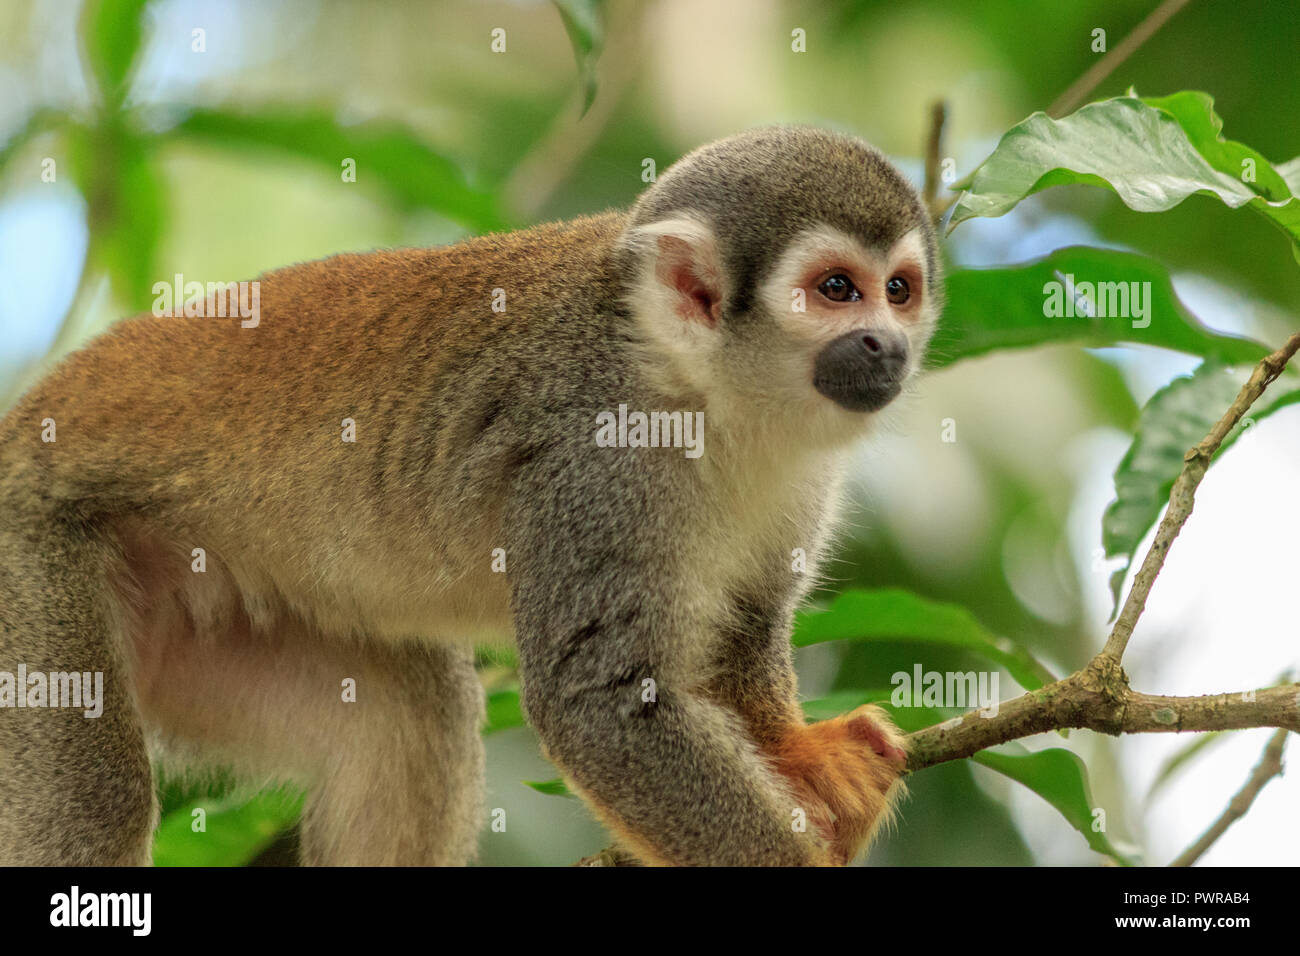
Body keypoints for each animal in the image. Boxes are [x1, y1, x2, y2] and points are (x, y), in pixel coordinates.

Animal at [0, 125, 941, 868]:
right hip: (30, 562)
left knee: (410, 727)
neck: (703, 391)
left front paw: (807, 759)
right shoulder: (597, 458)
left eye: (898, 290)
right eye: (835, 290)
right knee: (97, 806)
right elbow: (601, 707)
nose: (886, 347)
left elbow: (739, 633)